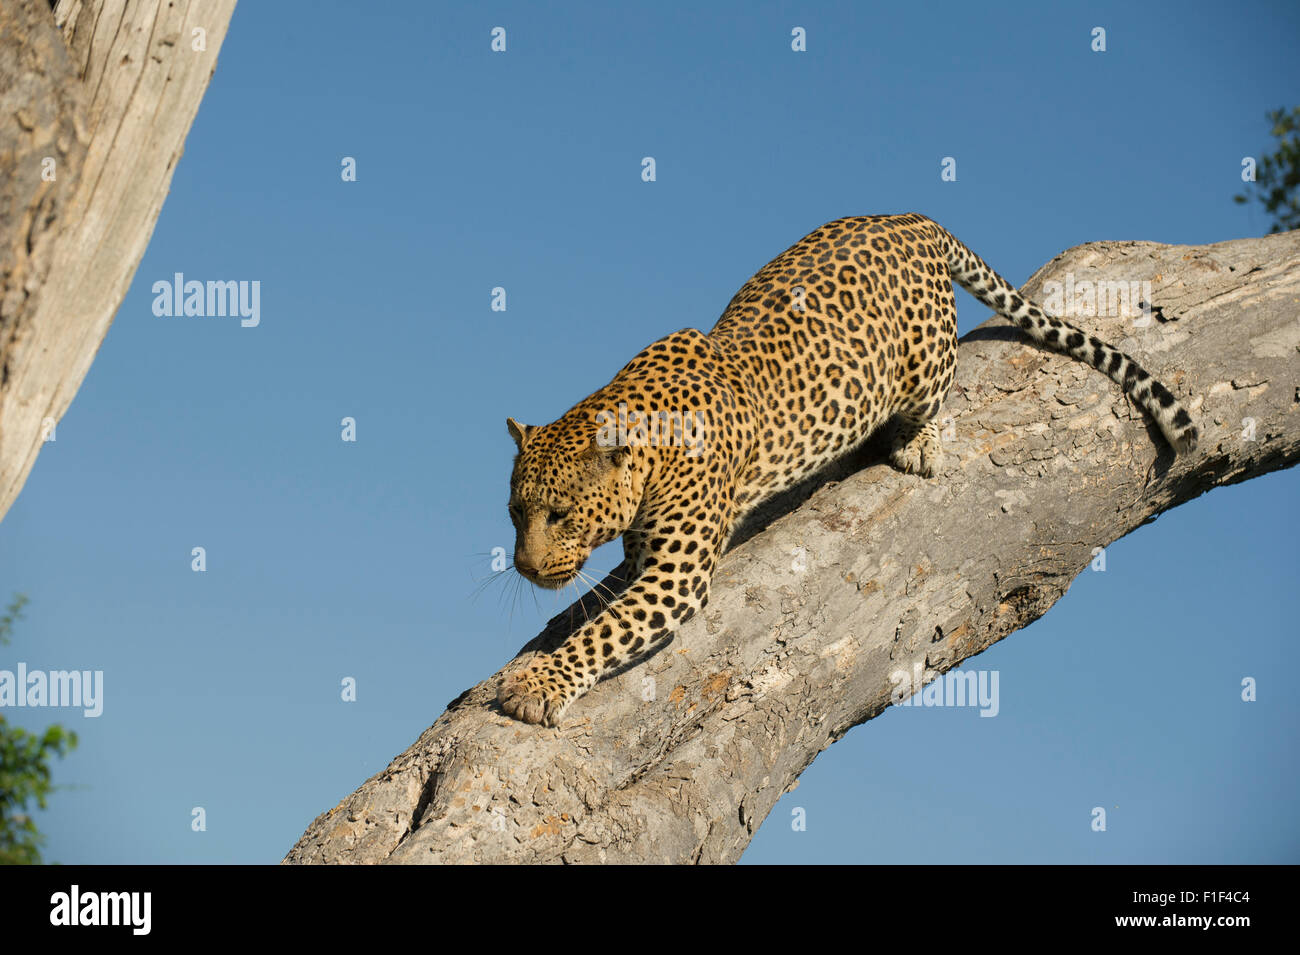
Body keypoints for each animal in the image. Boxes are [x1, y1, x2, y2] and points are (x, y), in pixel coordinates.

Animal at [498, 213, 1198, 726]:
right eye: (514, 513)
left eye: (559, 513)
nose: (526, 568)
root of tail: (913, 217)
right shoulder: (645, 555)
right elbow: (592, 611)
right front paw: (531, 661)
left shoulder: (678, 575)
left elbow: (605, 630)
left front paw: (539, 684)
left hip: (925, 359)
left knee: (935, 396)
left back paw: (919, 443)